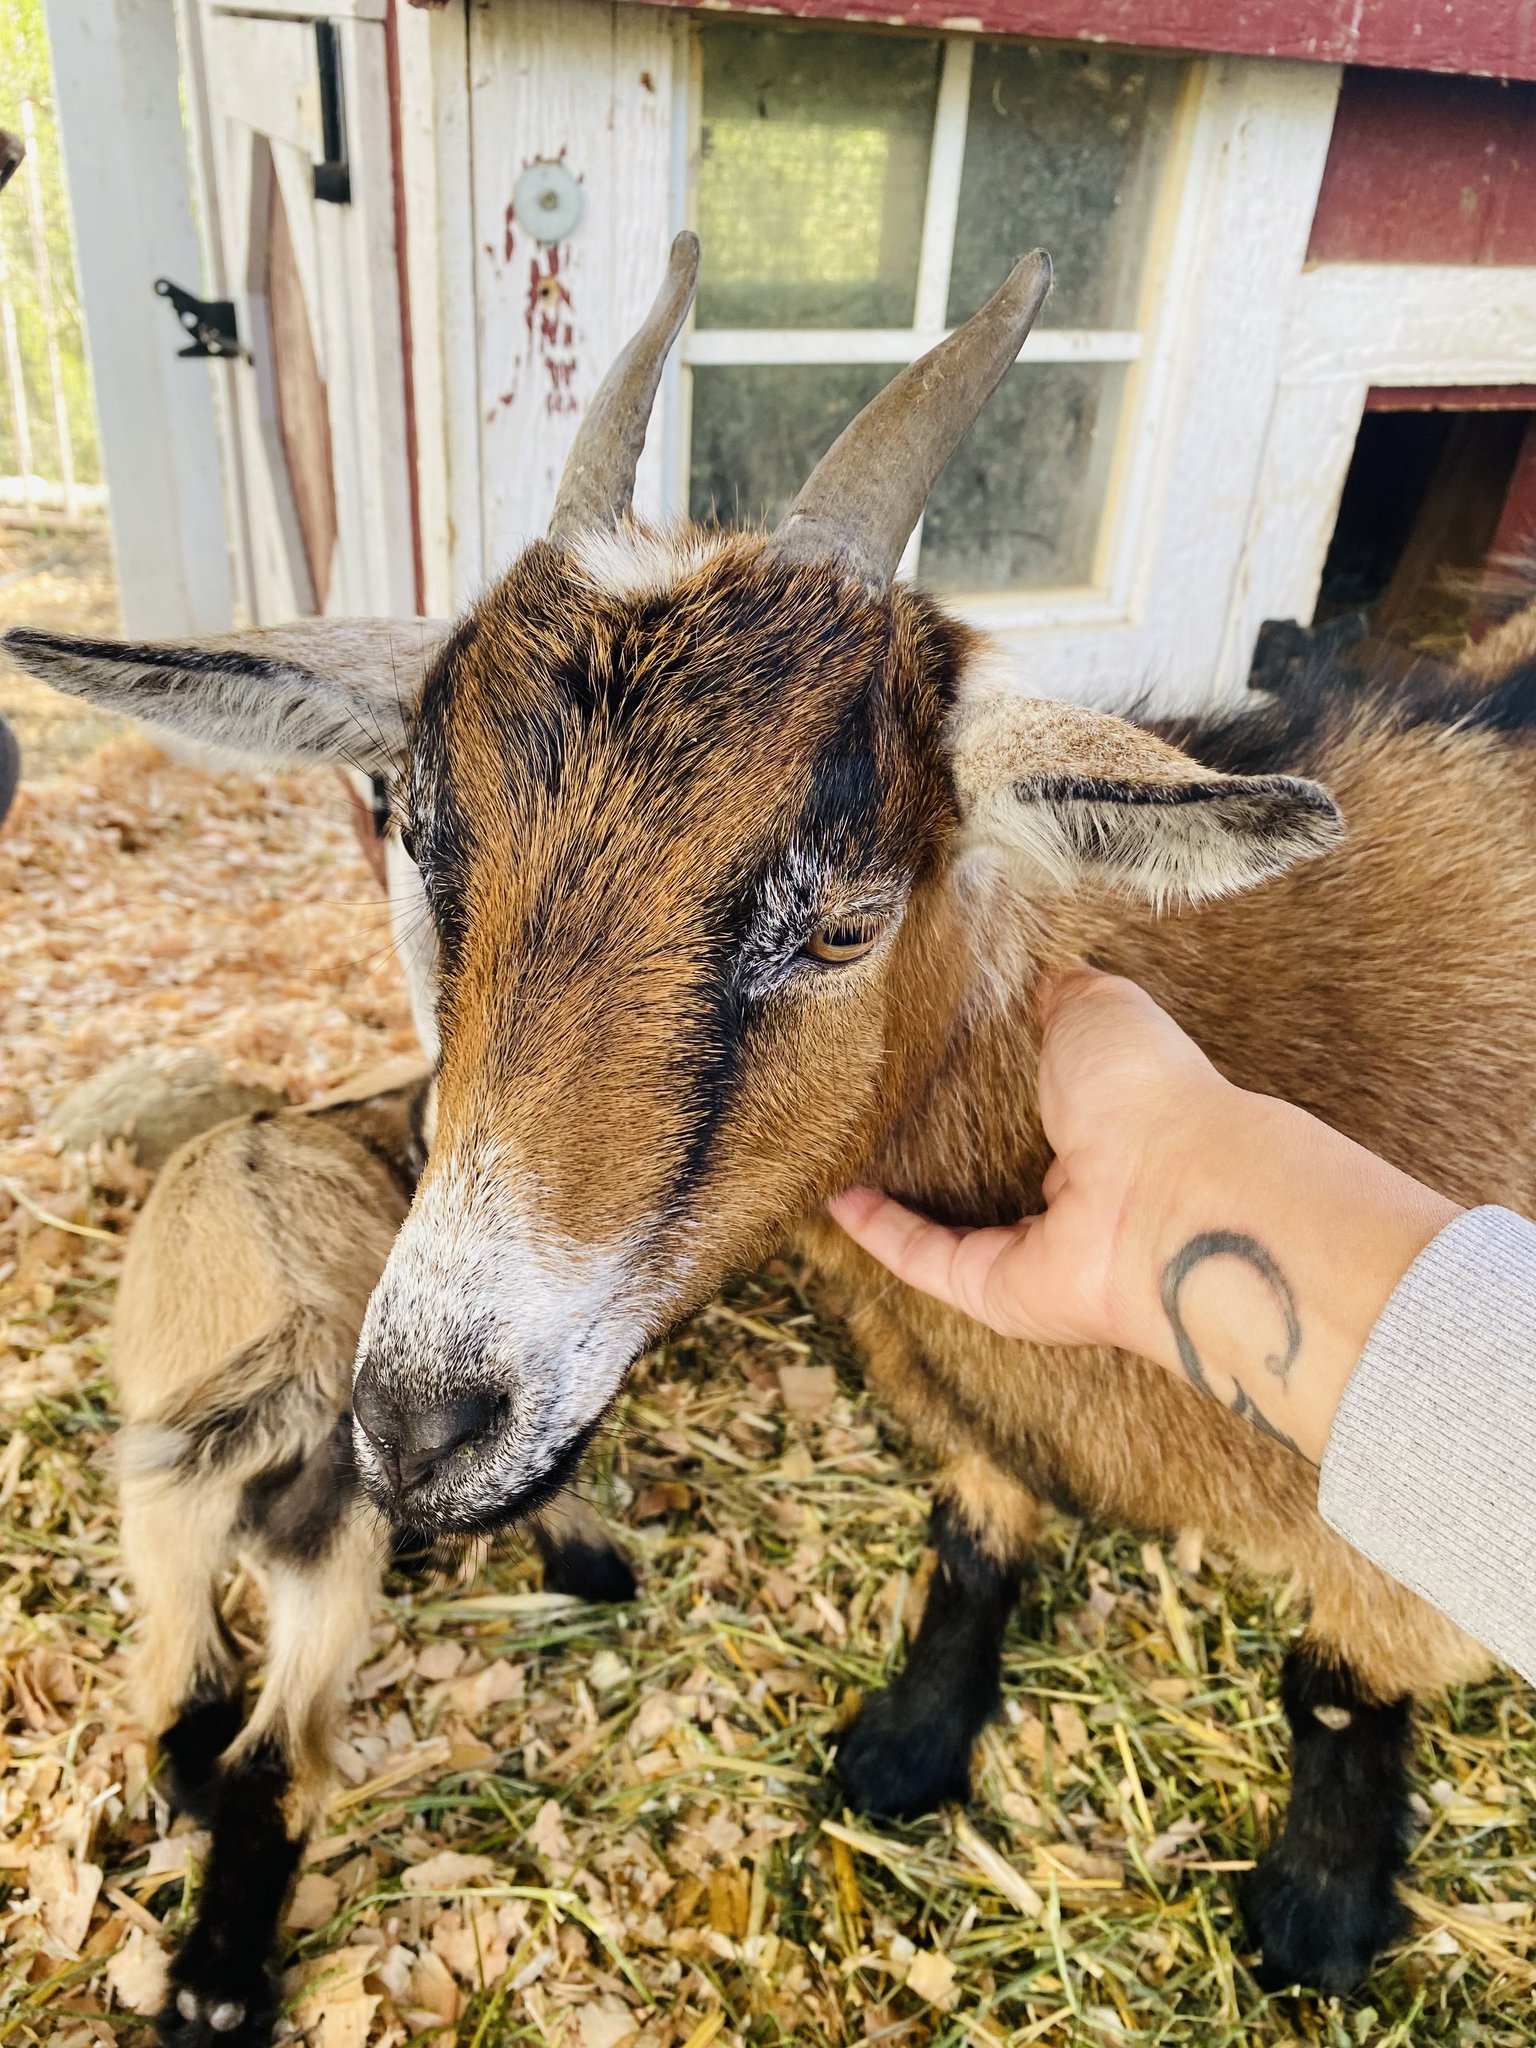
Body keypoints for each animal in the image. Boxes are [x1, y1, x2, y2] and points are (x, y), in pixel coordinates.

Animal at [111, 1064, 634, 2047]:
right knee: (282, 1760)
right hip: (334, 1540)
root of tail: (298, 1341)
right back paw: (219, 1996)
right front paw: (592, 1563)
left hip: (171, 1517)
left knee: (191, 1682)